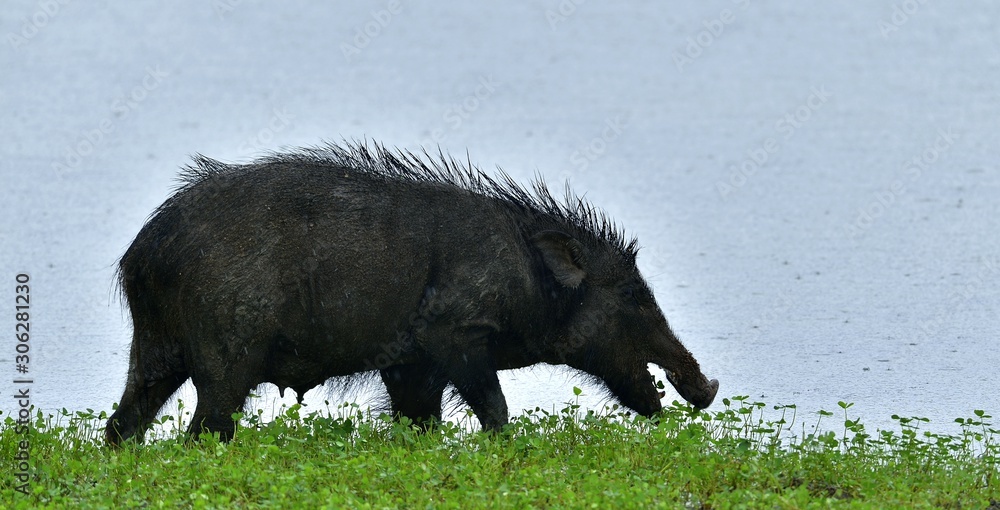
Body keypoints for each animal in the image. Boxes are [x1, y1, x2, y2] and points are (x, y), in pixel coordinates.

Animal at [105, 142, 719, 445]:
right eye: (633, 294)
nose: (708, 388)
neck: (526, 276)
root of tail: (140, 255)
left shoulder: (411, 363)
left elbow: (420, 425)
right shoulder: (456, 335)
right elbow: (494, 409)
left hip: (155, 350)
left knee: (123, 425)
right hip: (227, 357)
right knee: (202, 432)